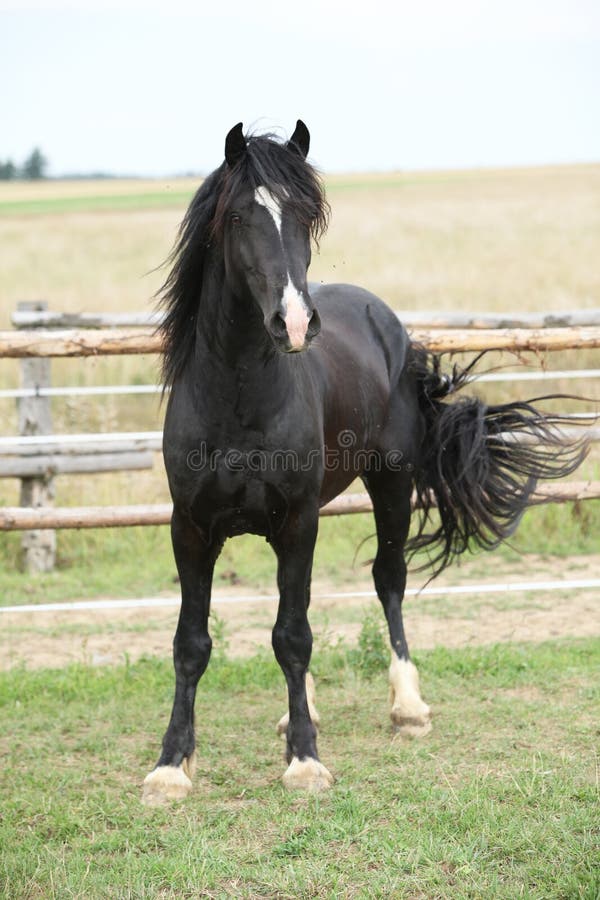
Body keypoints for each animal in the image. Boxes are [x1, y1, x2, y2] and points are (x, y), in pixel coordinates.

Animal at [141, 121, 584, 804]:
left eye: (306, 215)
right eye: (238, 215)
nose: (295, 323)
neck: (237, 395)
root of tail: (388, 324)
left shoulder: (299, 520)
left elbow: (293, 636)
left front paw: (304, 762)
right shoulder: (190, 526)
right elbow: (193, 641)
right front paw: (171, 766)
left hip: (391, 484)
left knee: (387, 580)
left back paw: (408, 707)